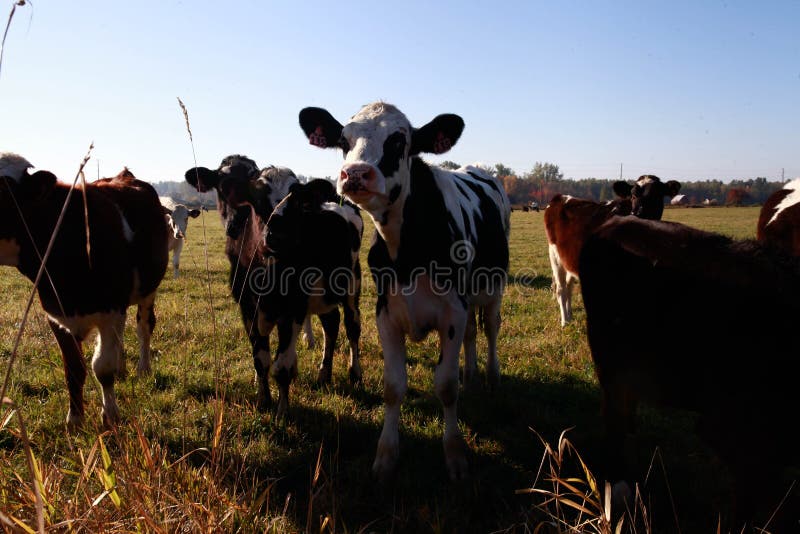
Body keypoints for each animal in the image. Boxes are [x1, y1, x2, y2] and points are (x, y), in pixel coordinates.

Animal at [0, 153, 168, 429]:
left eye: (4, 190)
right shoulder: (57, 315)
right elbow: (74, 369)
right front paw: (75, 420)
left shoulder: (111, 311)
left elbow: (102, 368)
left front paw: (110, 416)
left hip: (148, 290)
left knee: (144, 327)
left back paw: (143, 368)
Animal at [183, 156, 315, 410]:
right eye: (223, 188)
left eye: (295, 201)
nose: (278, 235)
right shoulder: (247, 308)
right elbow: (261, 360)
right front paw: (264, 400)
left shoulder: (293, 308)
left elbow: (282, 365)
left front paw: (283, 409)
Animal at [299, 101, 511, 481]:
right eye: (343, 141)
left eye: (399, 141)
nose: (355, 173)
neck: (408, 248)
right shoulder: (386, 314)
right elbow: (393, 387)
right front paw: (386, 456)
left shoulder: (452, 312)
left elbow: (446, 386)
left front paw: (455, 455)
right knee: (473, 334)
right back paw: (471, 374)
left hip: (493, 286)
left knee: (489, 327)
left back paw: (491, 374)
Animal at [543, 195, 631, 326]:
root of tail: (559, 197)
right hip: (555, 257)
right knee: (561, 290)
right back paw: (564, 321)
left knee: (569, 287)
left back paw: (570, 316)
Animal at [578, 216, 800, 530]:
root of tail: (617, 221)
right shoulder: (739, 433)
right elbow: (749, 503)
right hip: (609, 359)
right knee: (614, 419)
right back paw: (619, 488)